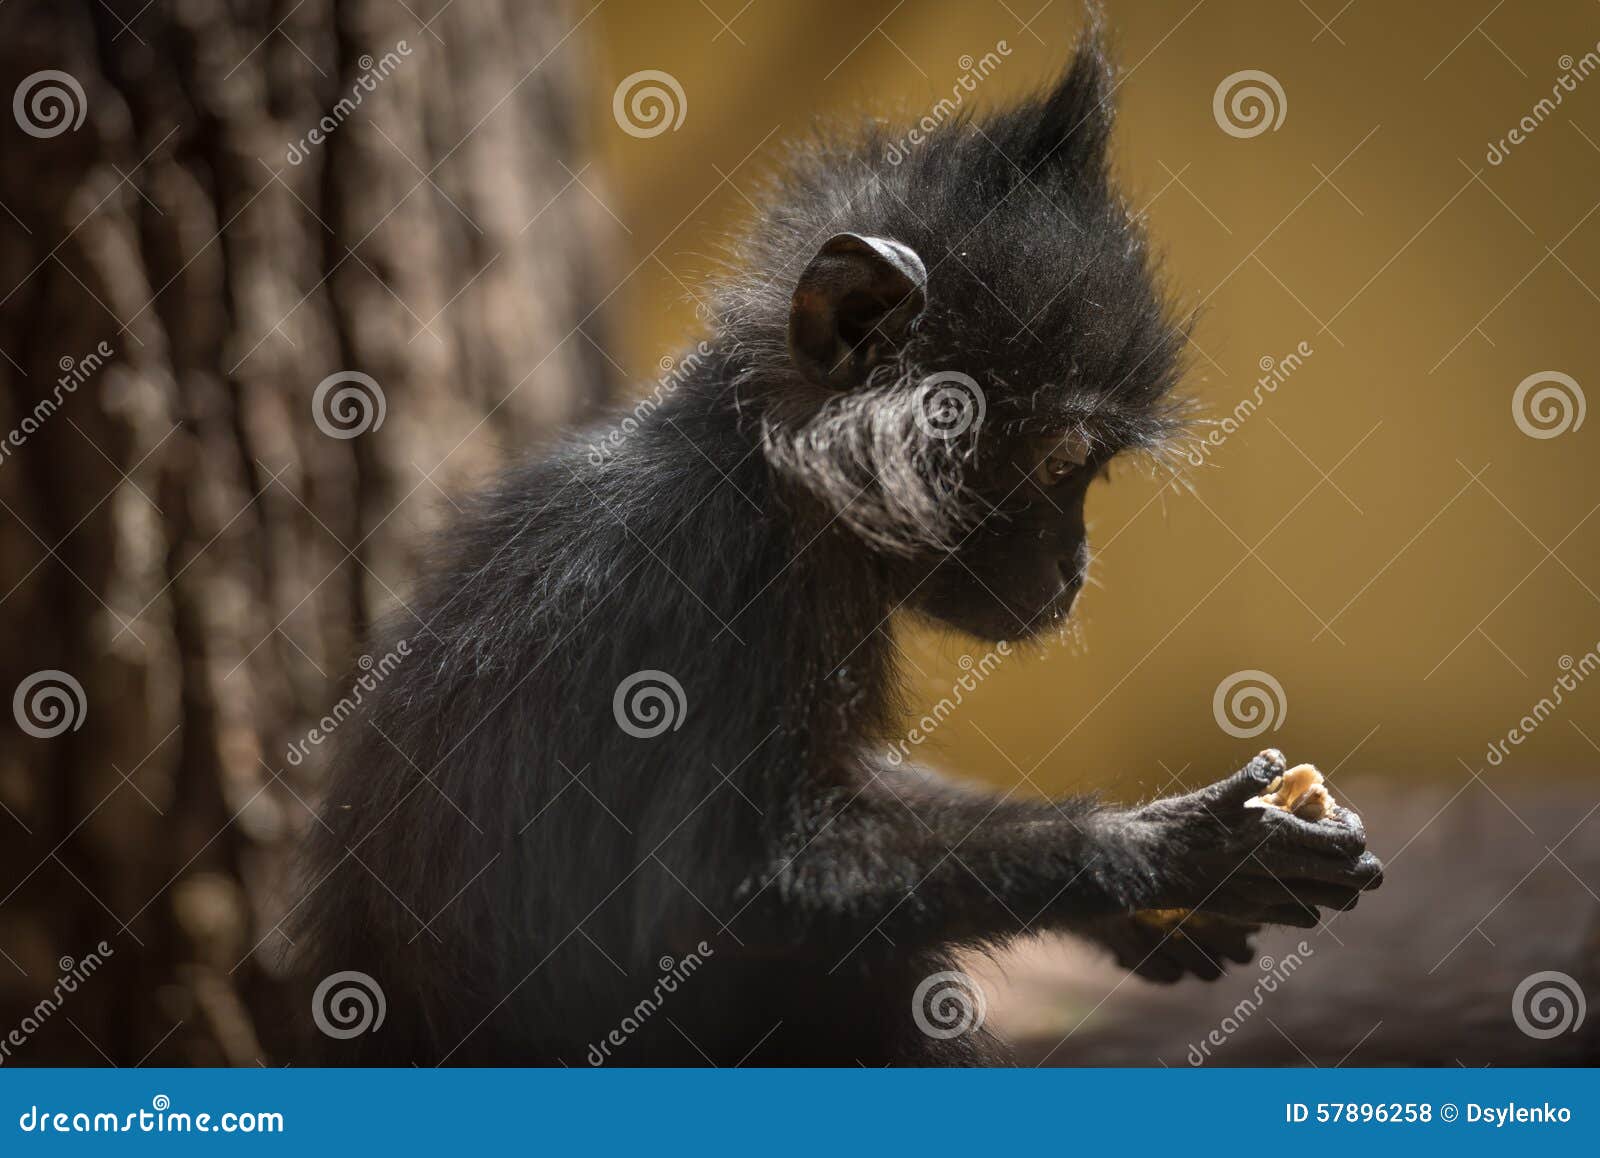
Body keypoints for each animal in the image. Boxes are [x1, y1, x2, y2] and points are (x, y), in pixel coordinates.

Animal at [293, 30, 1383, 1067]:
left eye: (1090, 475)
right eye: (1059, 464)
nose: (1075, 567)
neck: (767, 479)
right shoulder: (715, 587)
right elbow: (717, 895)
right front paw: (1180, 852)